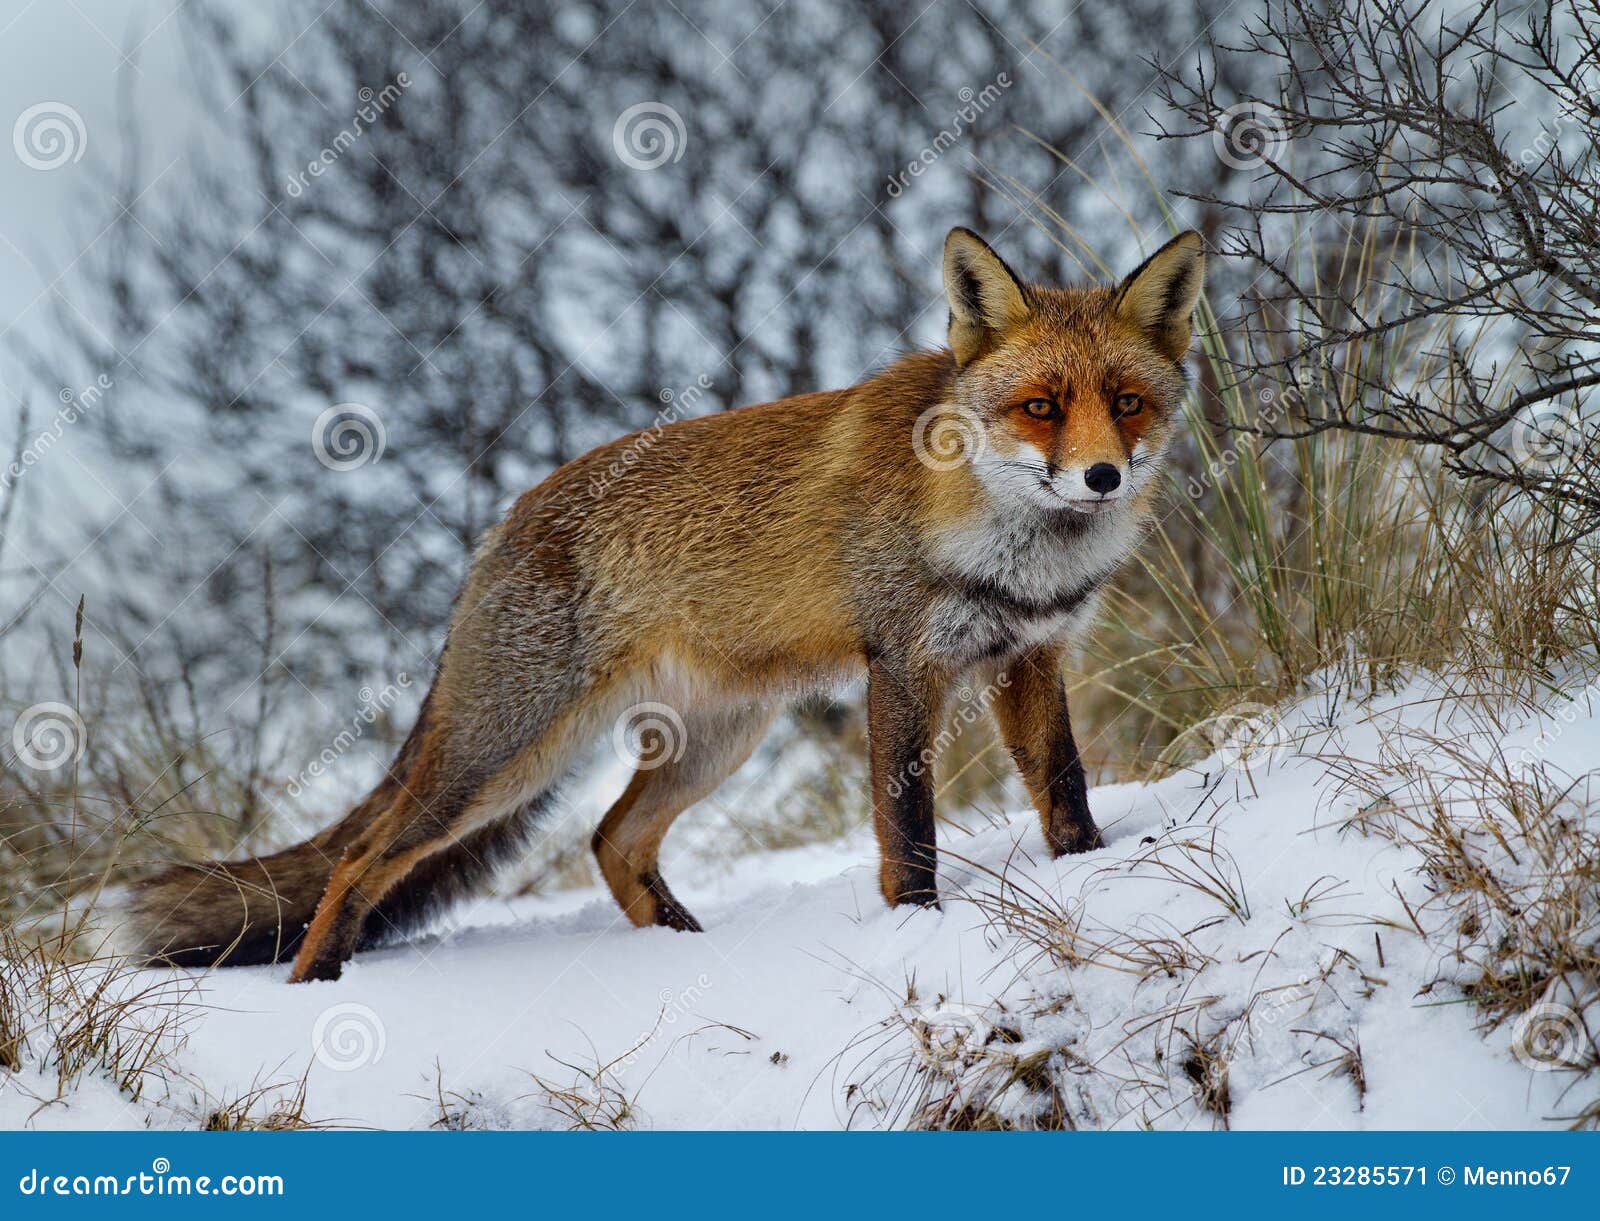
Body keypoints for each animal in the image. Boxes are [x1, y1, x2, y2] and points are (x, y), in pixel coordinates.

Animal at [125, 226, 1205, 982]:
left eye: (1128, 402)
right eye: (1040, 408)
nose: (1103, 477)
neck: (1005, 543)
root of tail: (506, 520)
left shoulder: (1030, 654)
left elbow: (1063, 790)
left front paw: (1086, 873)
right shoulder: (903, 667)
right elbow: (910, 833)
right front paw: (917, 931)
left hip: (717, 737)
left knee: (610, 841)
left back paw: (683, 950)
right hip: (503, 757)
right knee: (358, 860)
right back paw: (317, 989)